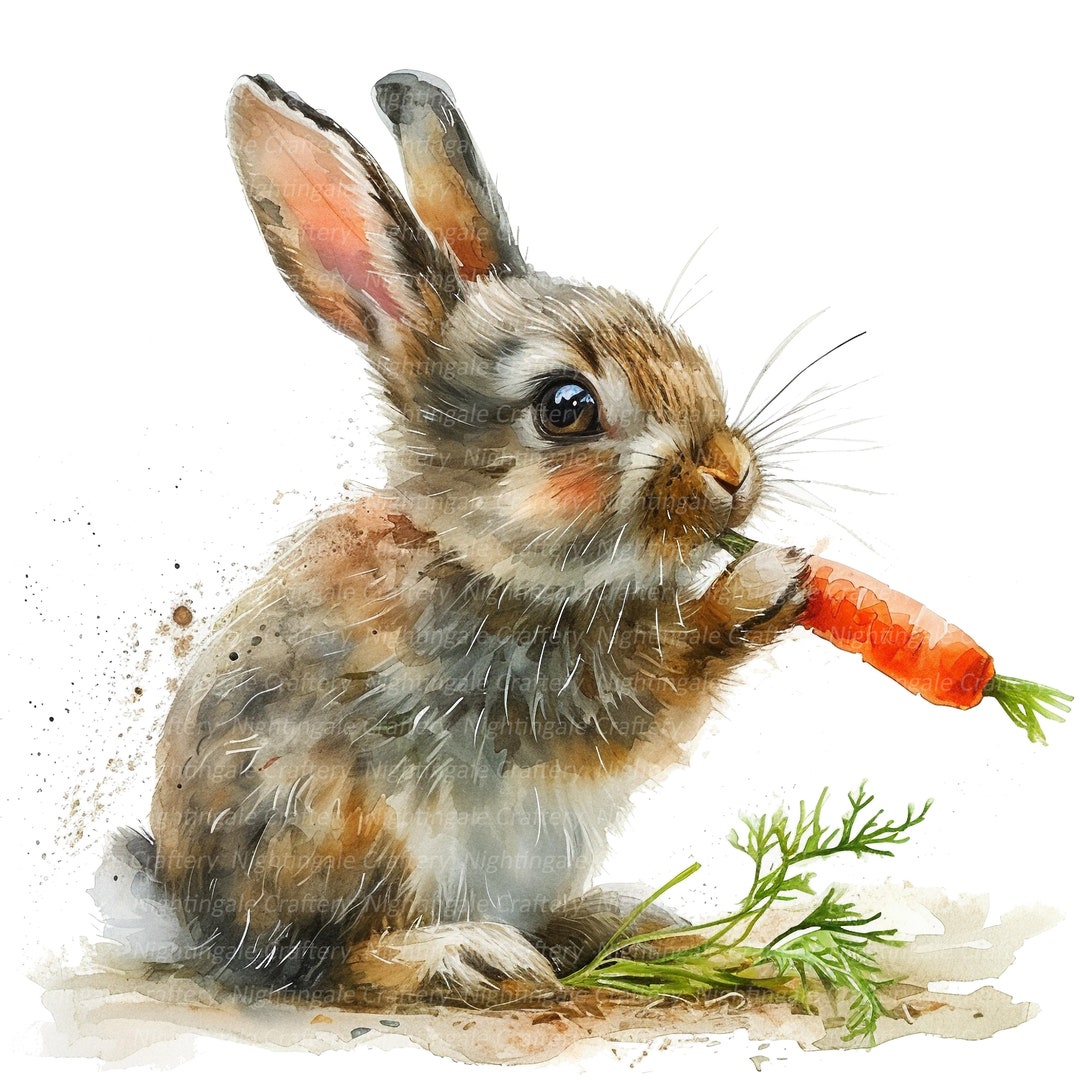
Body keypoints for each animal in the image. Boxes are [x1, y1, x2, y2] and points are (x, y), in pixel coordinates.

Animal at [130, 70, 809, 1008]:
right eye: (567, 407)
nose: (730, 474)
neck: (475, 550)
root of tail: (187, 907)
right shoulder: (542, 680)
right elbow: (664, 671)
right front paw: (764, 584)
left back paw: (657, 931)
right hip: (348, 831)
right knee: (326, 960)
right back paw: (467, 956)